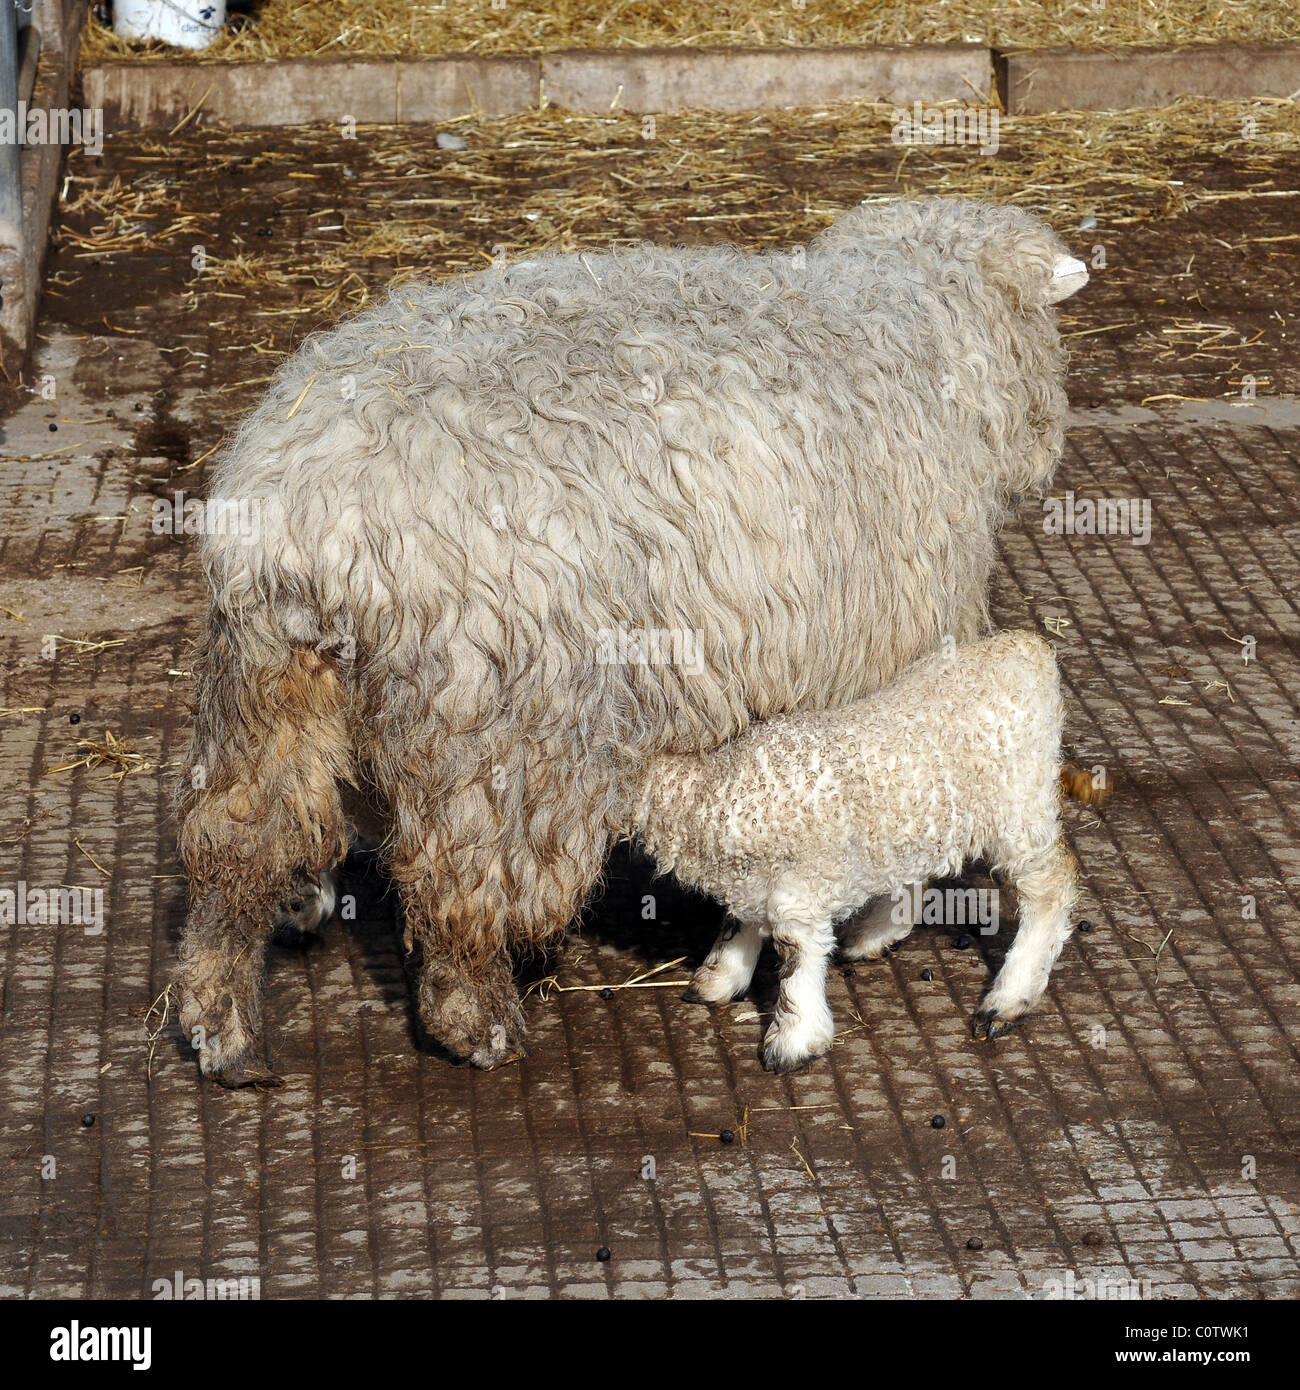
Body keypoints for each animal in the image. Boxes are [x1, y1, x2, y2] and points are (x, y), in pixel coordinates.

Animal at [627, 630, 1080, 1072]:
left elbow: (795, 952)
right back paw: (875, 934)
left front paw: (793, 1040)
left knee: (1050, 884)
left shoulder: (800, 884)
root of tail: (1025, 648)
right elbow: (738, 922)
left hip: (1019, 804)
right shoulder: (752, 875)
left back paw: (1009, 999)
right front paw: (721, 977)